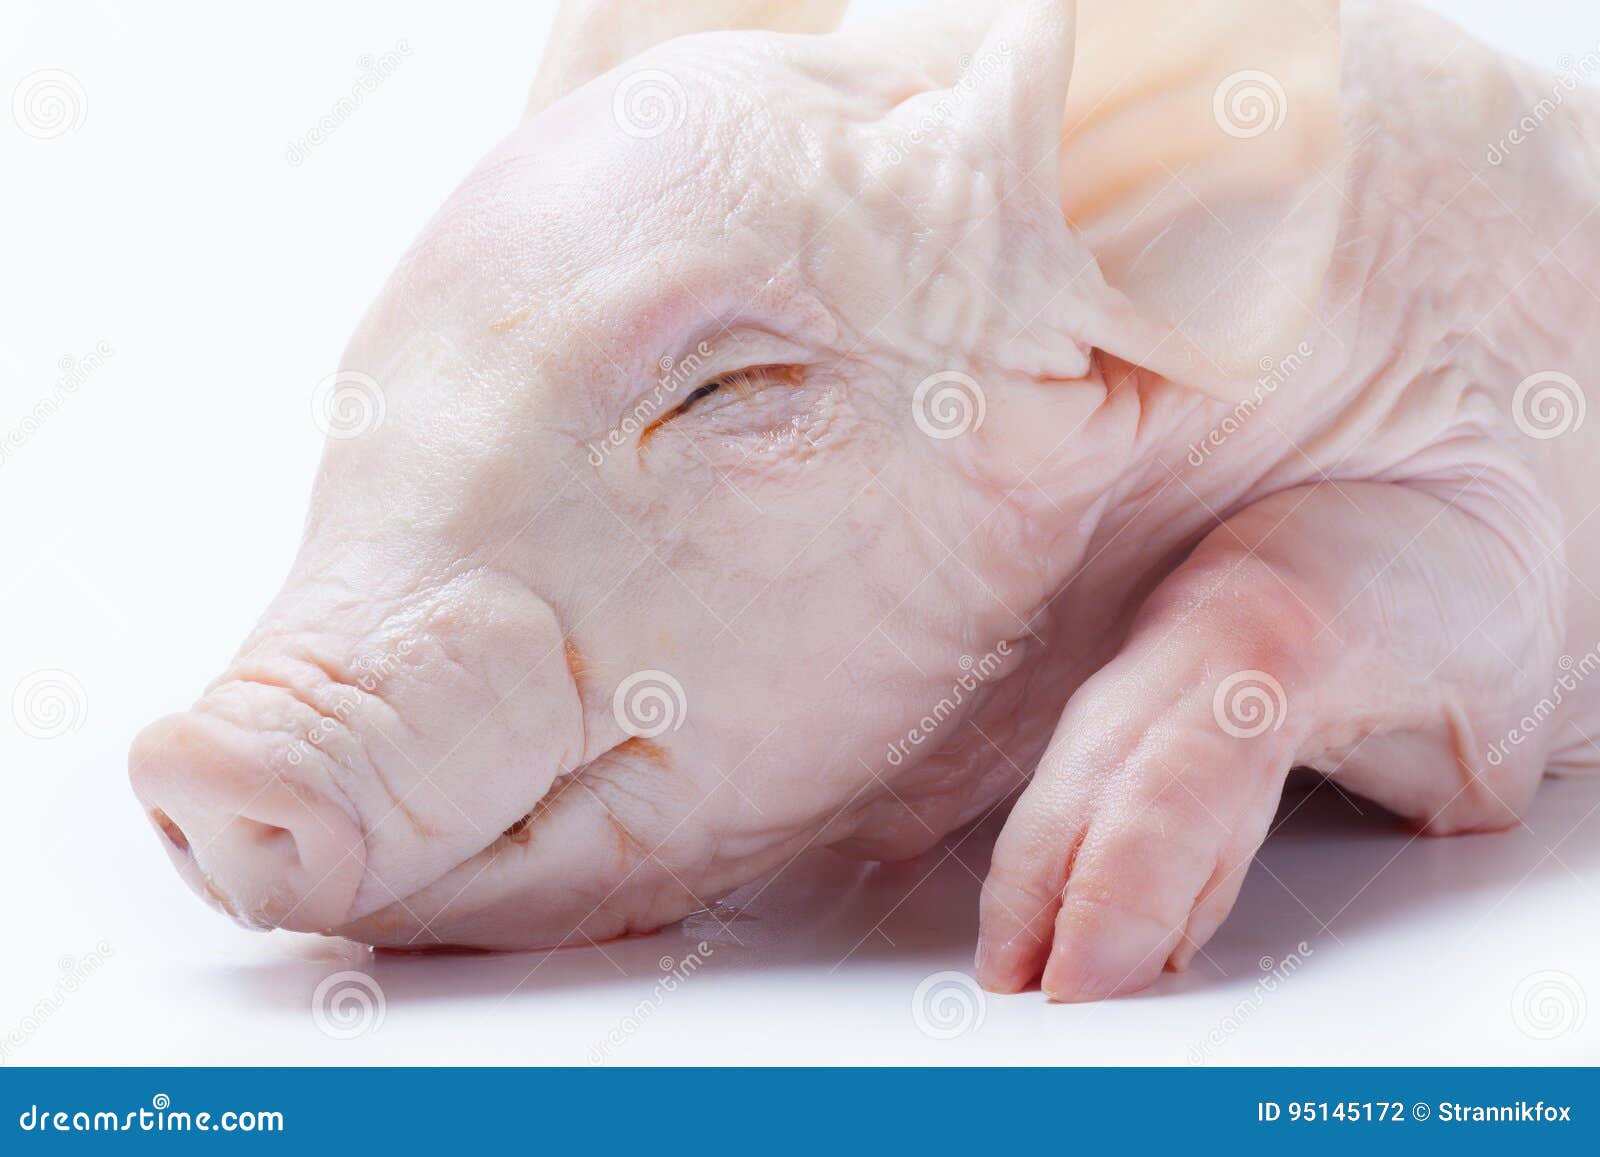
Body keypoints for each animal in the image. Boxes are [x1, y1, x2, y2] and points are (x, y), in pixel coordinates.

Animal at [129, 0, 1600, 1002]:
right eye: (355, 389)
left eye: (728, 385)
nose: (198, 758)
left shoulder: (1504, 513)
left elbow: (1309, 562)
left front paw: (1055, 954)